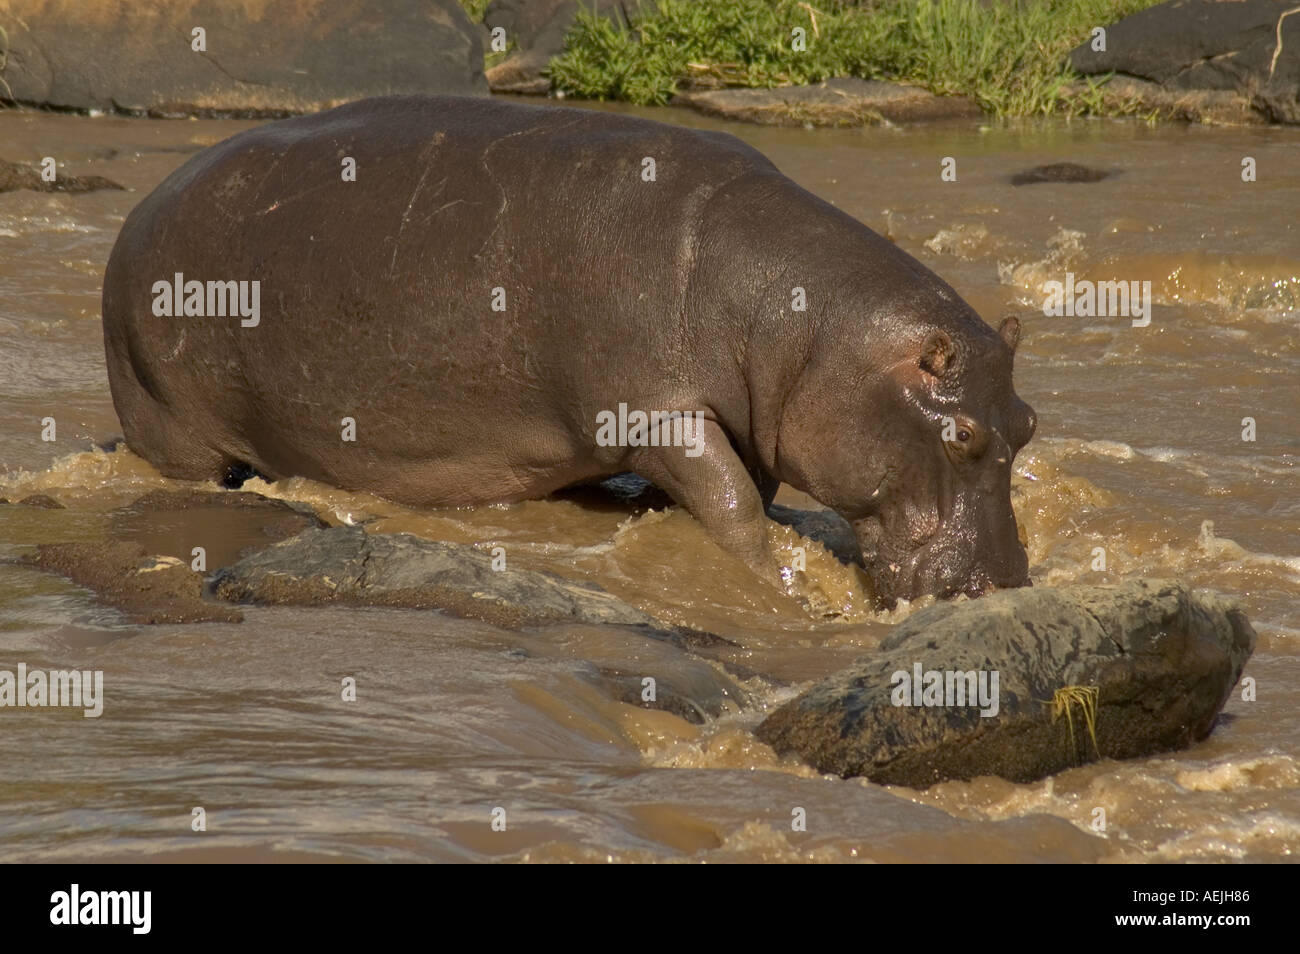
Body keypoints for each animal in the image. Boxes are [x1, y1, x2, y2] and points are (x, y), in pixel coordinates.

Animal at [101, 95, 1036, 606]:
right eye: (962, 435)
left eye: (1026, 424)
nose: (1008, 587)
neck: (801, 327)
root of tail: (141, 209)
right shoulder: (654, 414)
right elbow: (733, 503)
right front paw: (781, 588)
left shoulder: (745, 414)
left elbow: (745, 488)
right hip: (171, 422)